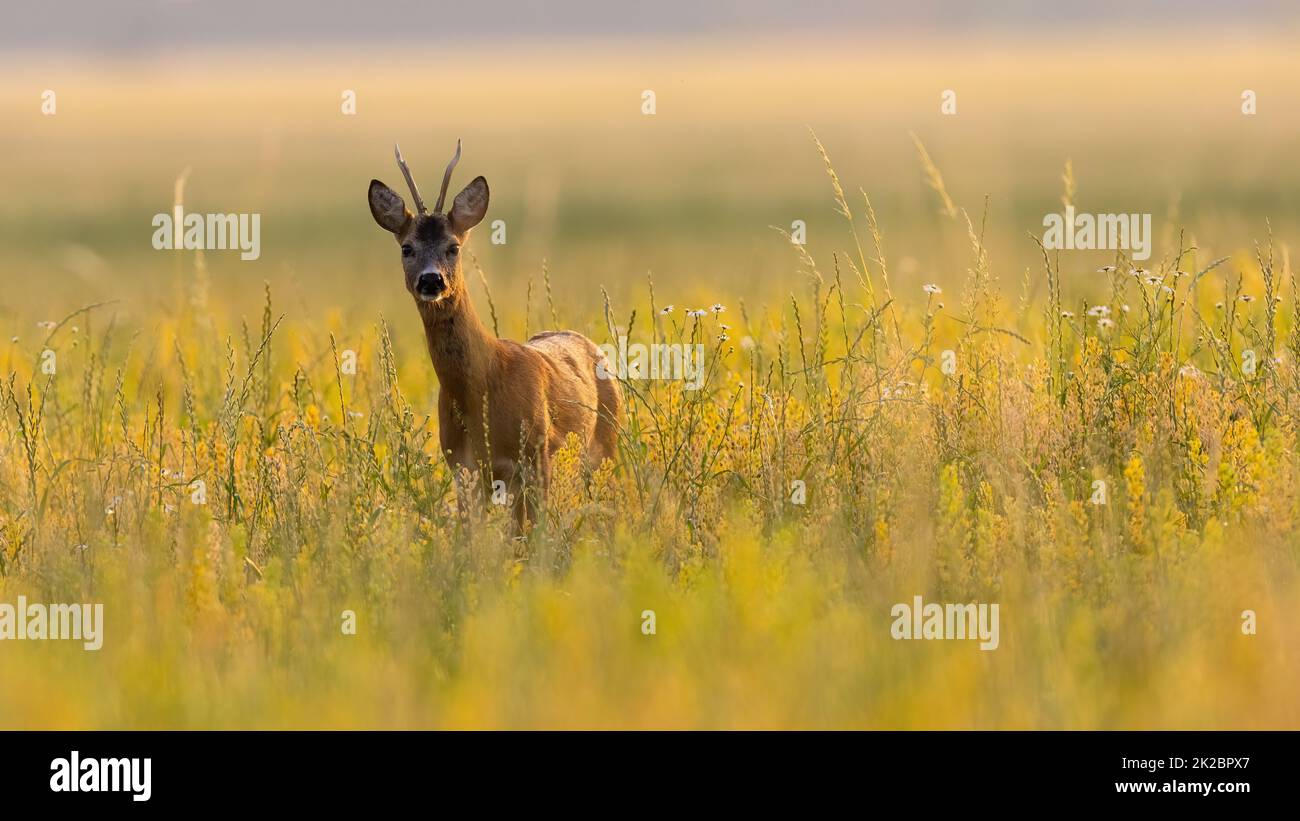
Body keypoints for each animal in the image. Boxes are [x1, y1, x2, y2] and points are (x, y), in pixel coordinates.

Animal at [367, 141, 623, 529]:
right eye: (406, 248)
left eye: (454, 247)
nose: (431, 280)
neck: (483, 386)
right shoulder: (463, 469)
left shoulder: (536, 455)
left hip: (606, 446)